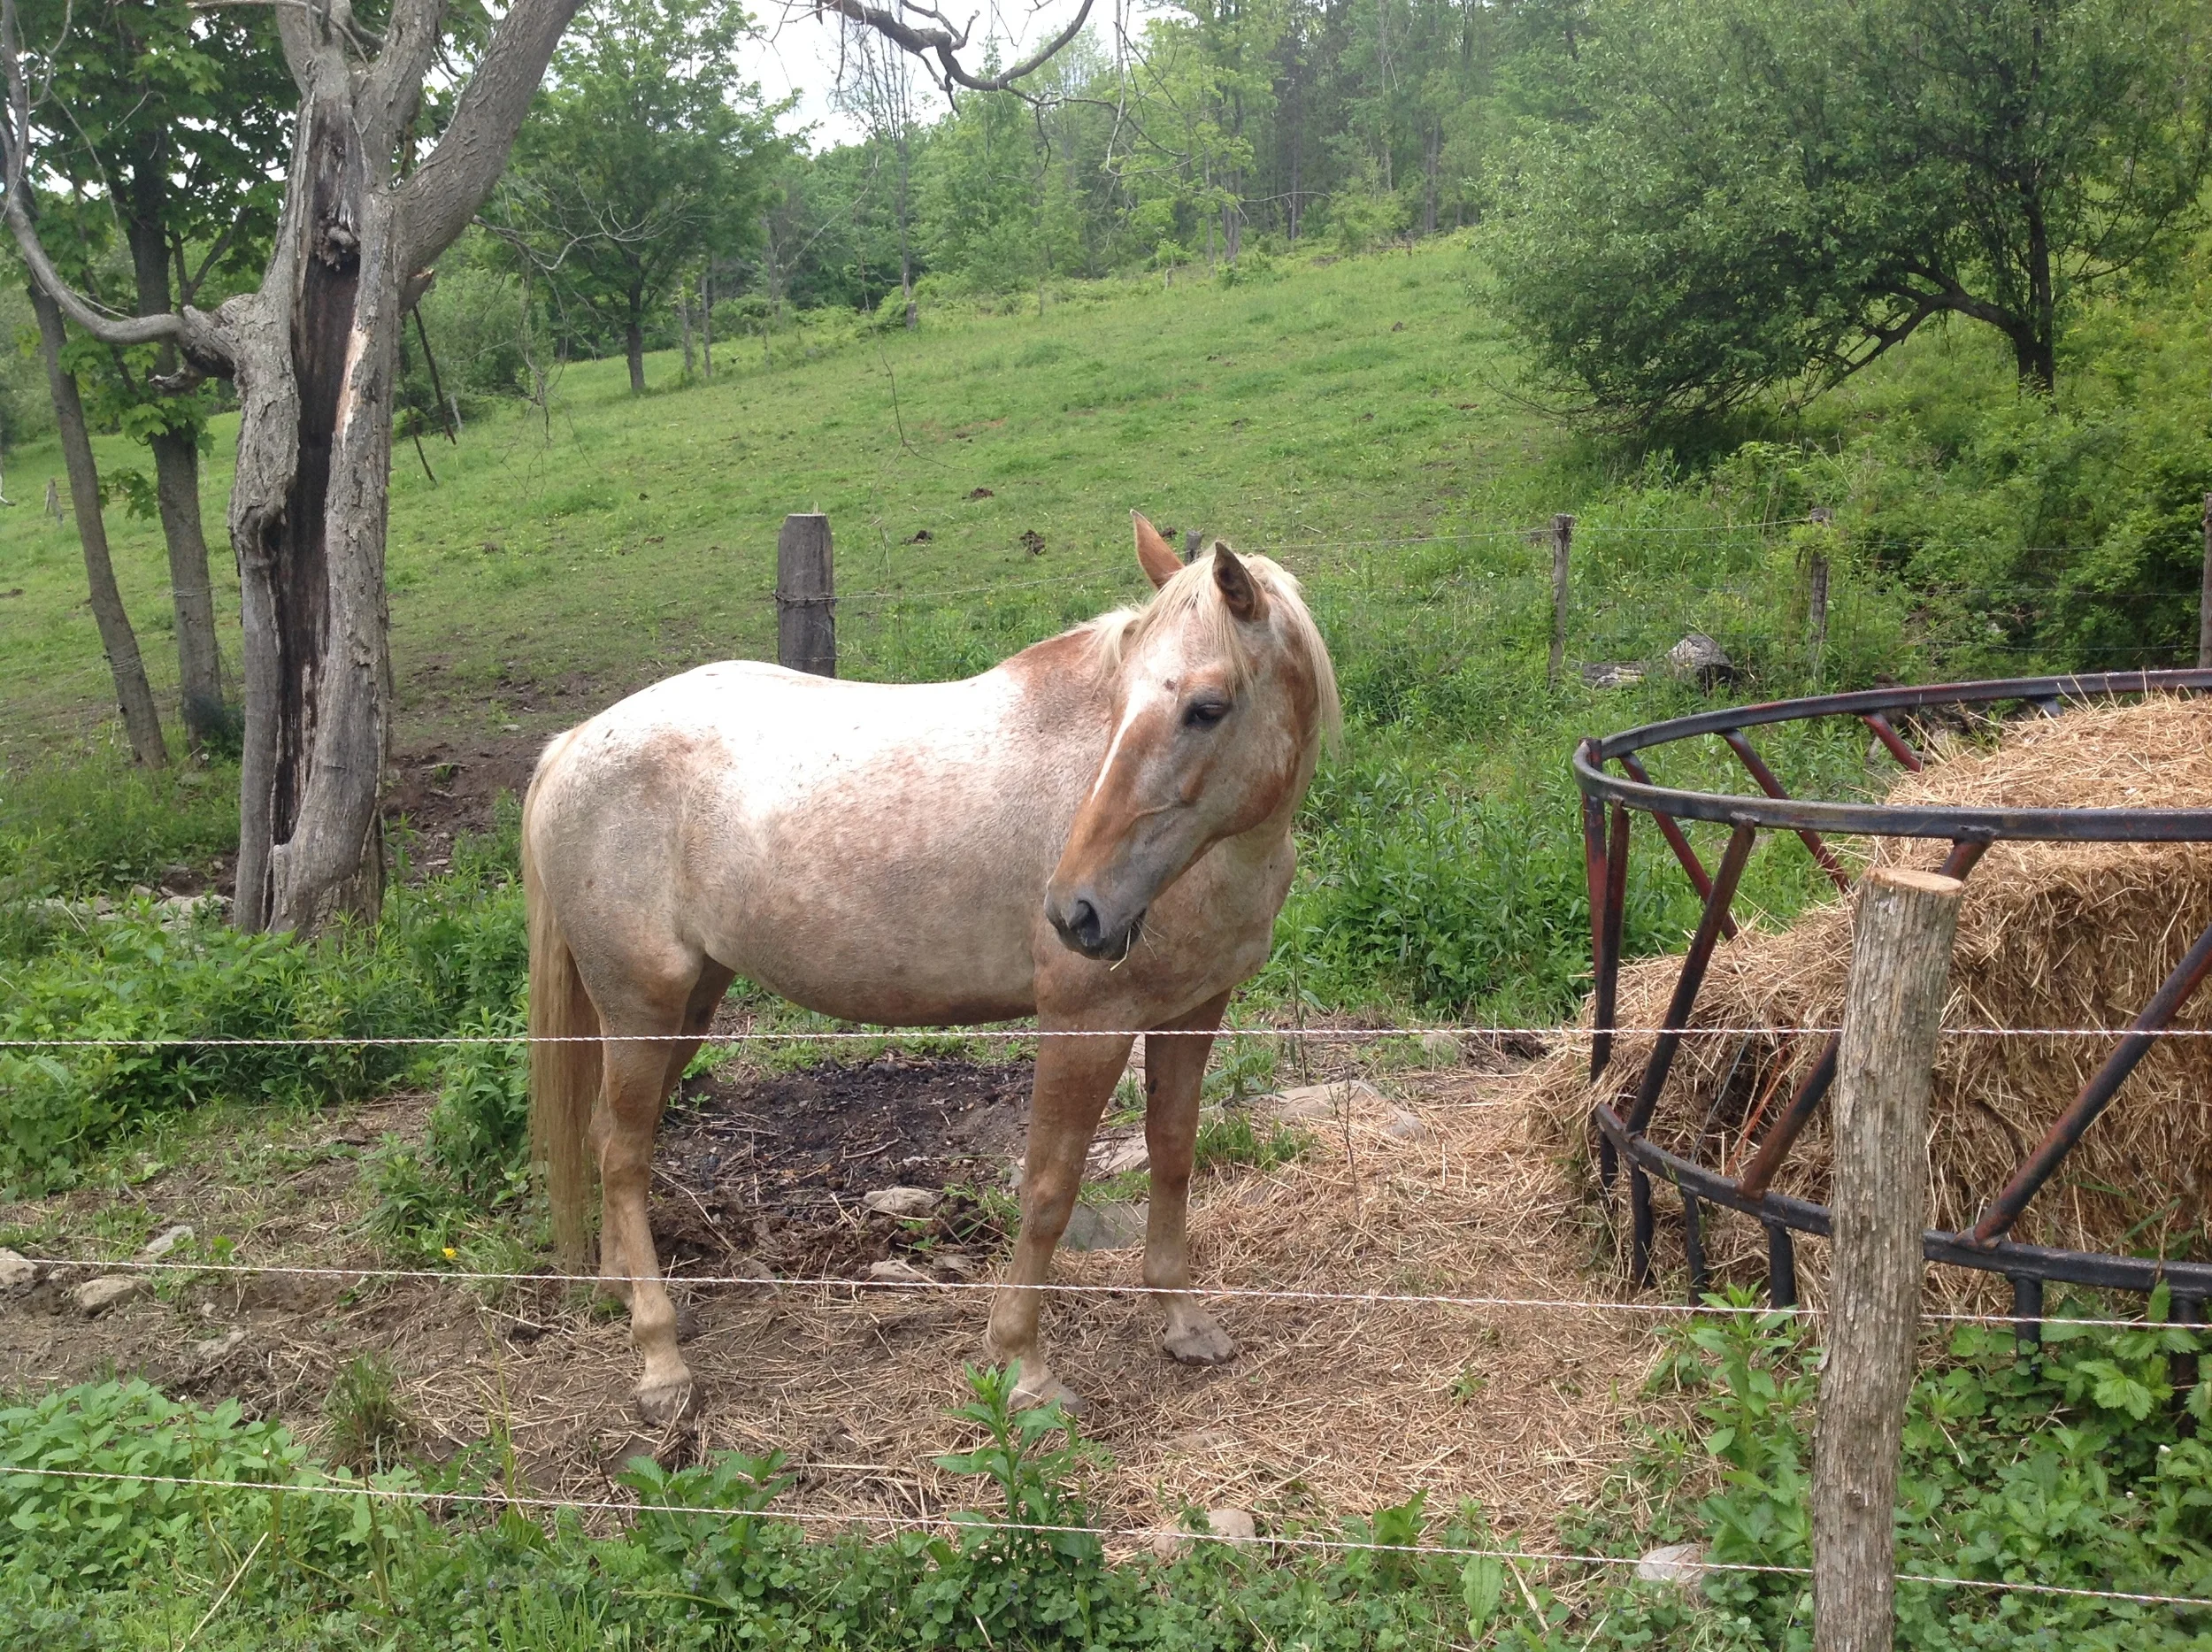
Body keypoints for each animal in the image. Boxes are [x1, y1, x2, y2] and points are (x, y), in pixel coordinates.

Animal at [522, 511, 1340, 1422]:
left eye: (1207, 707)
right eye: (1122, 701)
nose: (1077, 912)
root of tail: (572, 745)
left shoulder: (1194, 1008)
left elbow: (1172, 1153)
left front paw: (1184, 1322)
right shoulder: (1085, 1024)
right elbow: (1049, 1187)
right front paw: (1024, 1366)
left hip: (688, 1003)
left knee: (608, 1138)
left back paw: (622, 1294)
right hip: (642, 1004)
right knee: (623, 1155)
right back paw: (661, 1360)